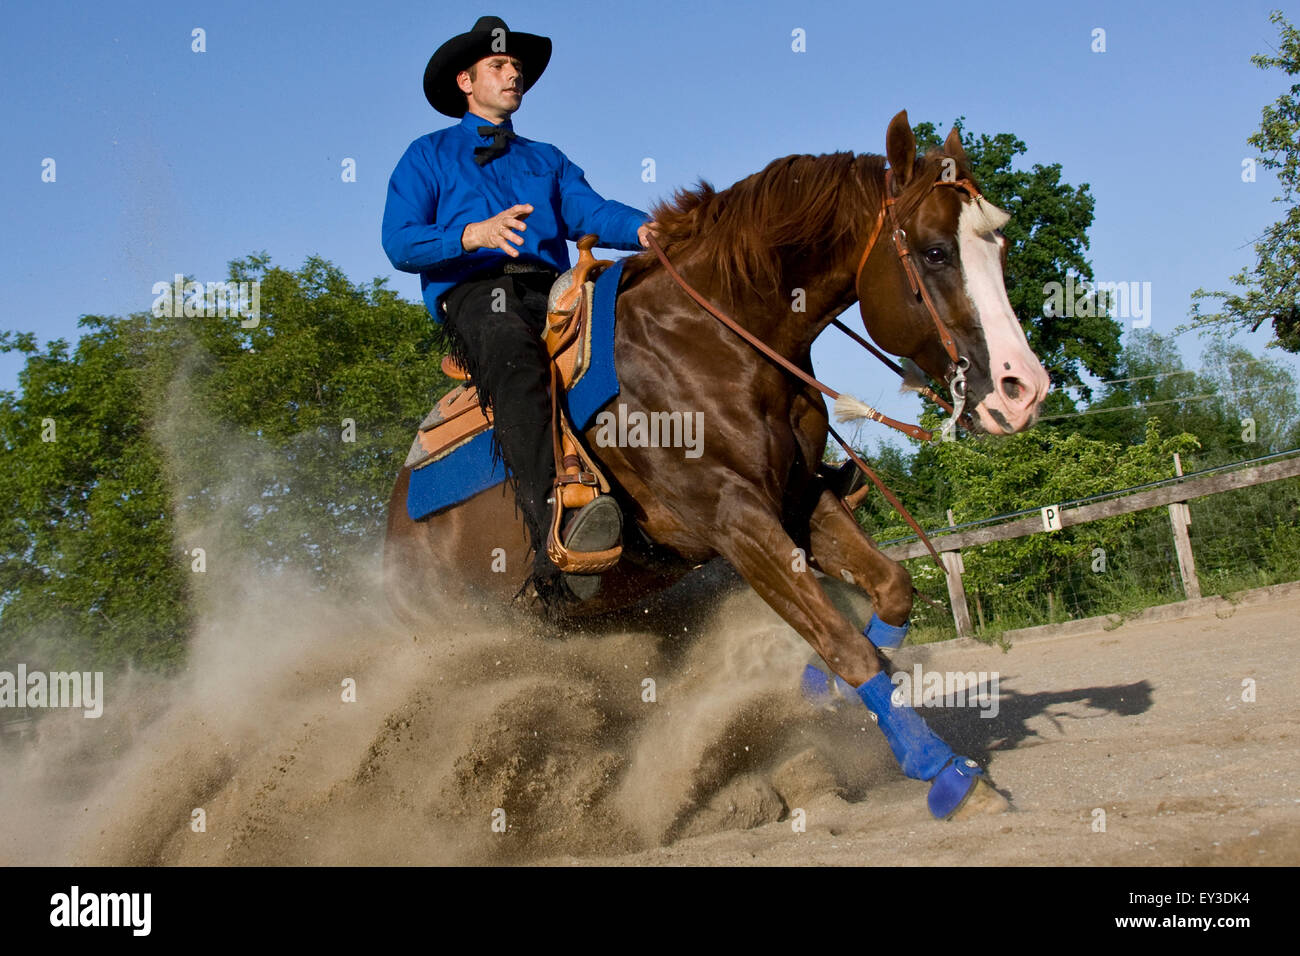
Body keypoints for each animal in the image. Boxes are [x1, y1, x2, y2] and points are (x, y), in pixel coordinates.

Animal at [383, 110, 1052, 821]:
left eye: (999, 247)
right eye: (933, 252)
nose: (1023, 390)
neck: (712, 340)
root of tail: (393, 524)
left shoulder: (798, 498)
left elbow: (892, 592)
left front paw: (816, 688)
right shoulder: (736, 523)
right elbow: (847, 646)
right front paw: (948, 775)